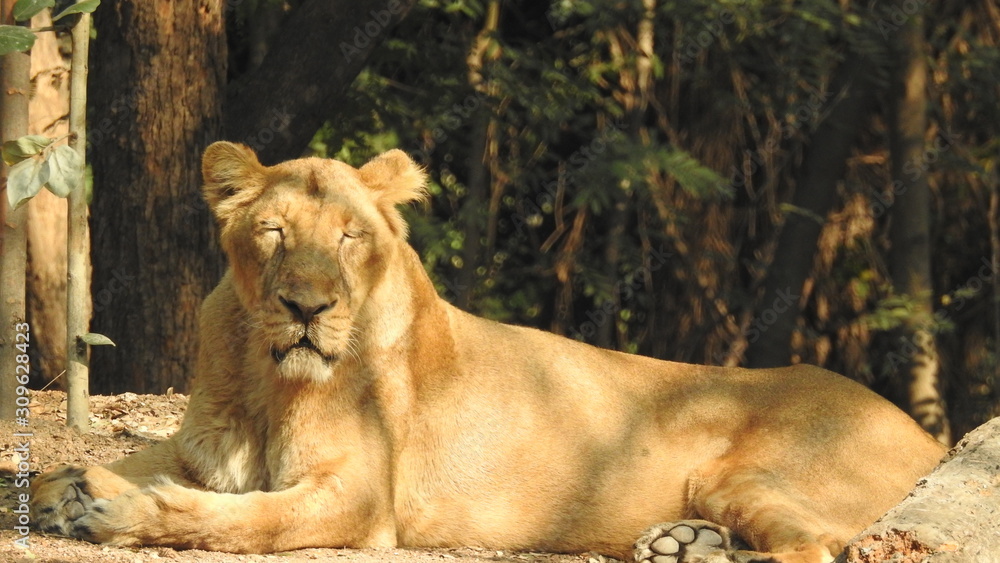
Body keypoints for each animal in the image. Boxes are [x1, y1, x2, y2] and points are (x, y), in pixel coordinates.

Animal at [32, 142, 946, 563]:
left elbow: (242, 517)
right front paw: (58, 485)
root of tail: (930, 436)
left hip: (751, 469)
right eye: (274, 232)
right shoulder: (200, 447)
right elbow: (139, 458)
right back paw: (682, 544)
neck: (263, 375)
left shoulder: (359, 497)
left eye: (350, 236)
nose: (307, 306)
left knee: (818, 548)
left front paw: (111, 507)